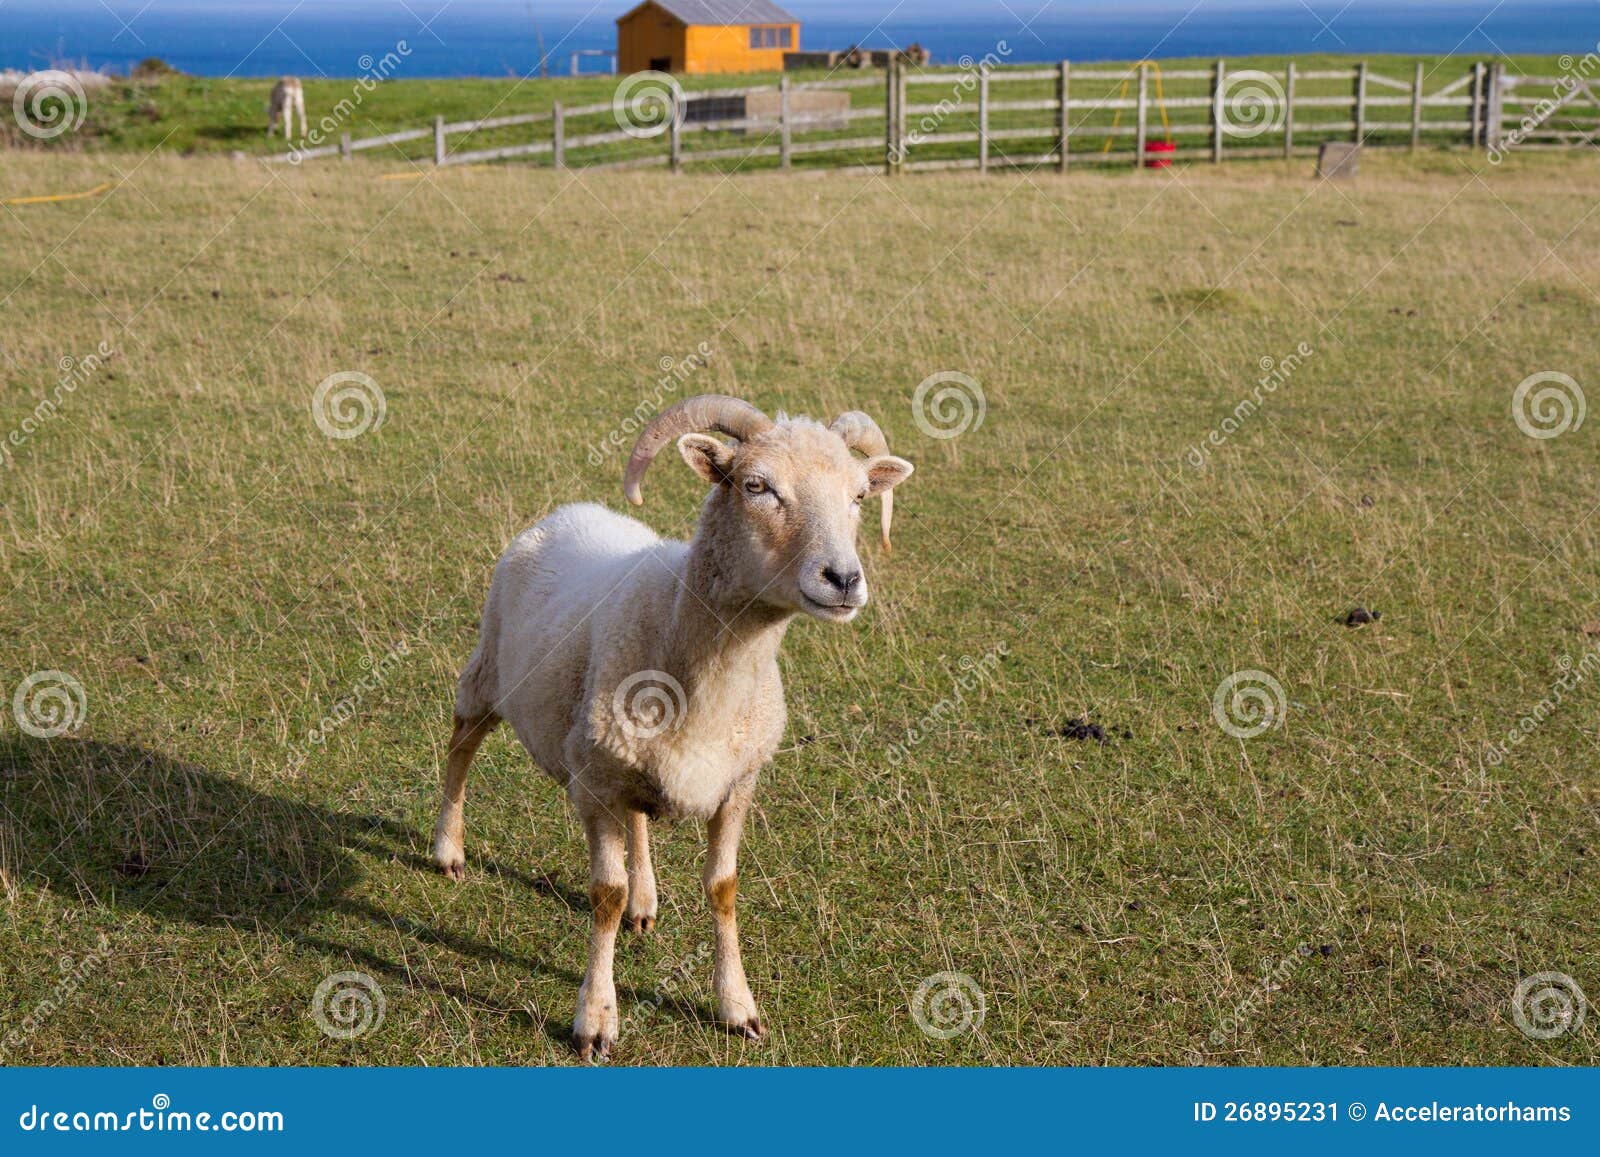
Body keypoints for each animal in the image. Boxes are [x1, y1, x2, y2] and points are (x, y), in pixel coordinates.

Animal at [430, 394, 914, 1060]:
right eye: (757, 486)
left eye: (860, 496)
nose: (844, 580)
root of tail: (570, 510)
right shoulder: (594, 786)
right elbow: (602, 898)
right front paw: (595, 1019)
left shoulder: (738, 782)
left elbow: (723, 887)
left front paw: (737, 1006)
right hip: (489, 674)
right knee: (460, 744)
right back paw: (447, 848)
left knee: (637, 819)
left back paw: (645, 899)